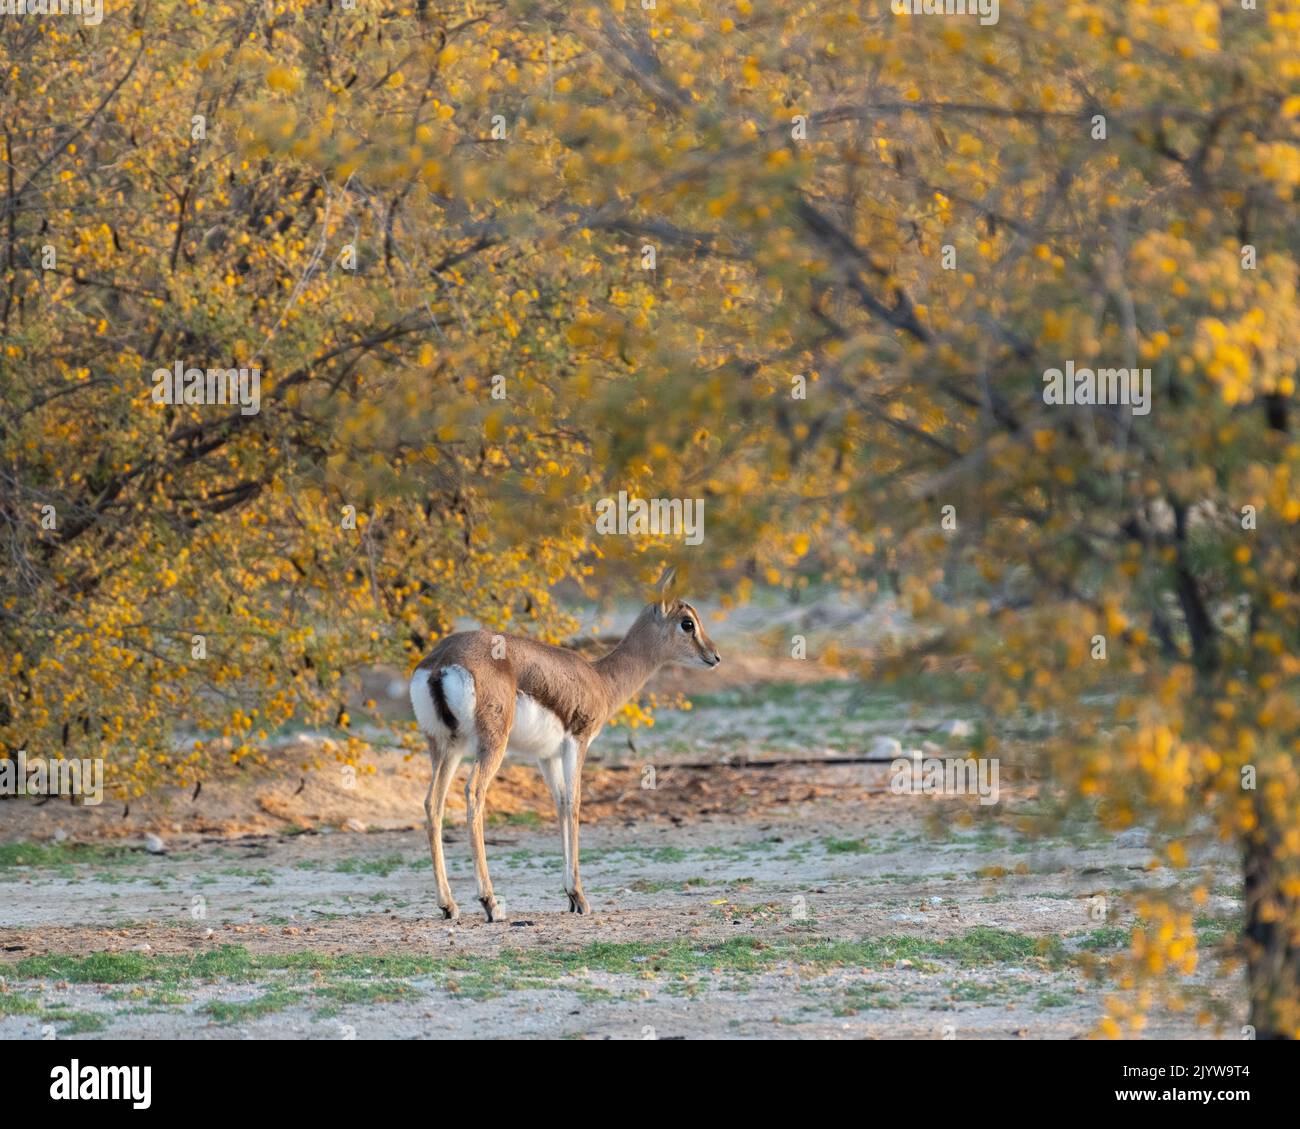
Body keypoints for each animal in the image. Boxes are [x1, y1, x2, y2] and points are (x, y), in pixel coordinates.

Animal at [409, 568, 721, 922]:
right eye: (687, 623)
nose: (714, 656)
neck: (600, 679)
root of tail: (441, 663)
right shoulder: (577, 743)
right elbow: (574, 804)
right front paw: (579, 896)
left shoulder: (546, 756)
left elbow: (559, 805)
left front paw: (570, 896)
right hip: (490, 744)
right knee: (474, 792)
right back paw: (490, 903)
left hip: (446, 746)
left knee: (432, 803)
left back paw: (448, 905)